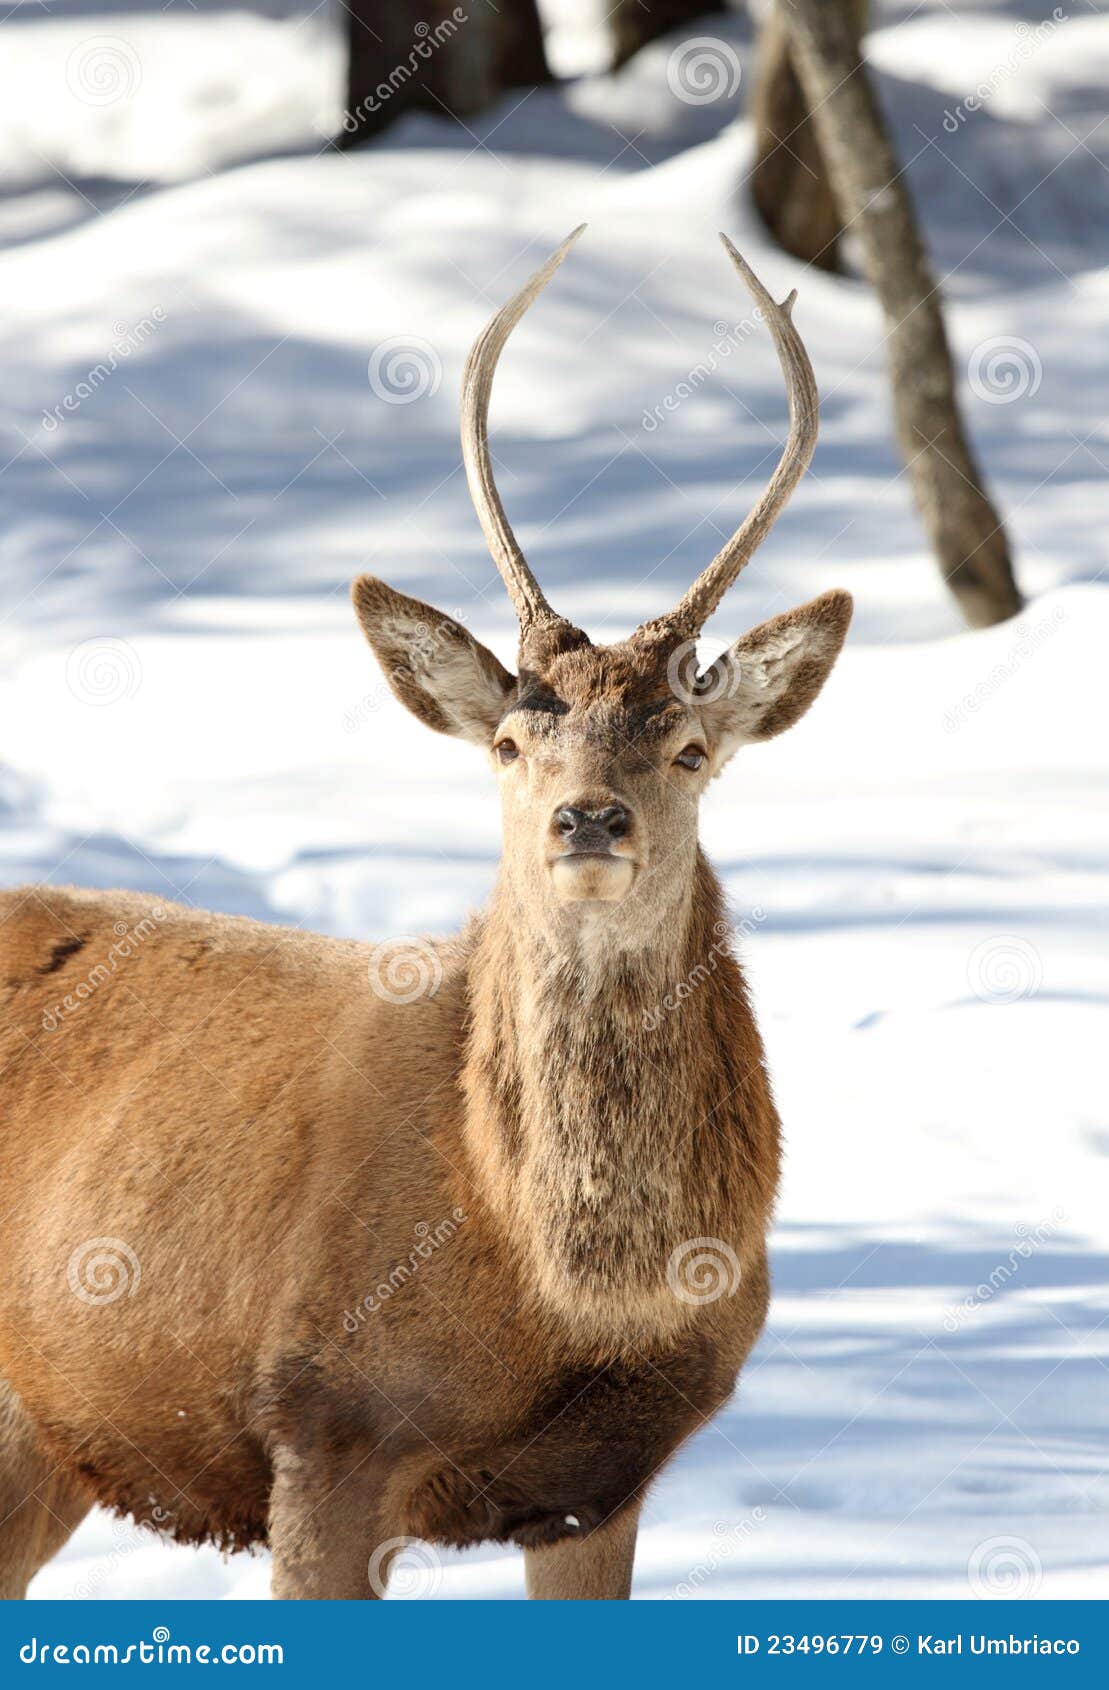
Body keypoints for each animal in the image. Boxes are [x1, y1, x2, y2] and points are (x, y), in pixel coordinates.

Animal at [0, 229, 850, 1601]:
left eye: (687, 746)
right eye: (507, 742)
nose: (587, 820)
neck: (555, 1287)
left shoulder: (602, 1482)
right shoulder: (319, 1416)